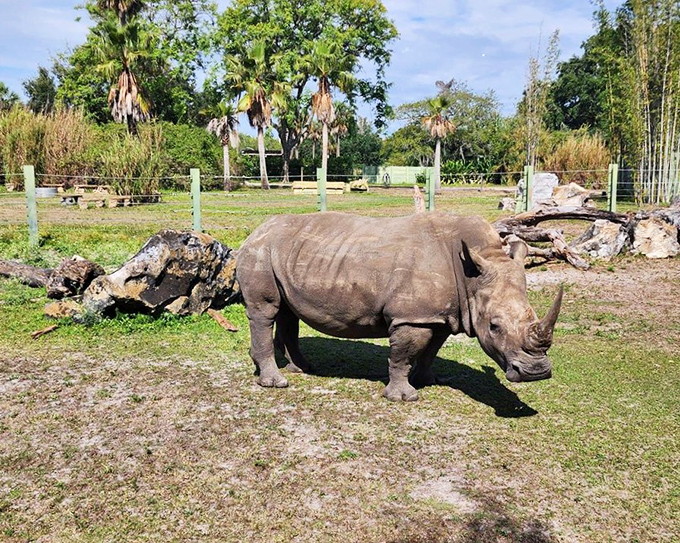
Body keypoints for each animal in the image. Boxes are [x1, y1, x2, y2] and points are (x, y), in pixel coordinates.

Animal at [235, 212, 562, 401]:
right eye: (494, 327)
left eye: (533, 315)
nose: (535, 373)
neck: (473, 271)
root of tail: (255, 230)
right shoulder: (412, 316)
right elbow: (403, 354)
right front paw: (404, 397)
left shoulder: (440, 315)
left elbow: (431, 351)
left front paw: (430, 380)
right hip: (259, 251)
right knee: (265, 311)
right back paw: (276, 383)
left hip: (285, 254)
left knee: (288, 312)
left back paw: (302, 369)